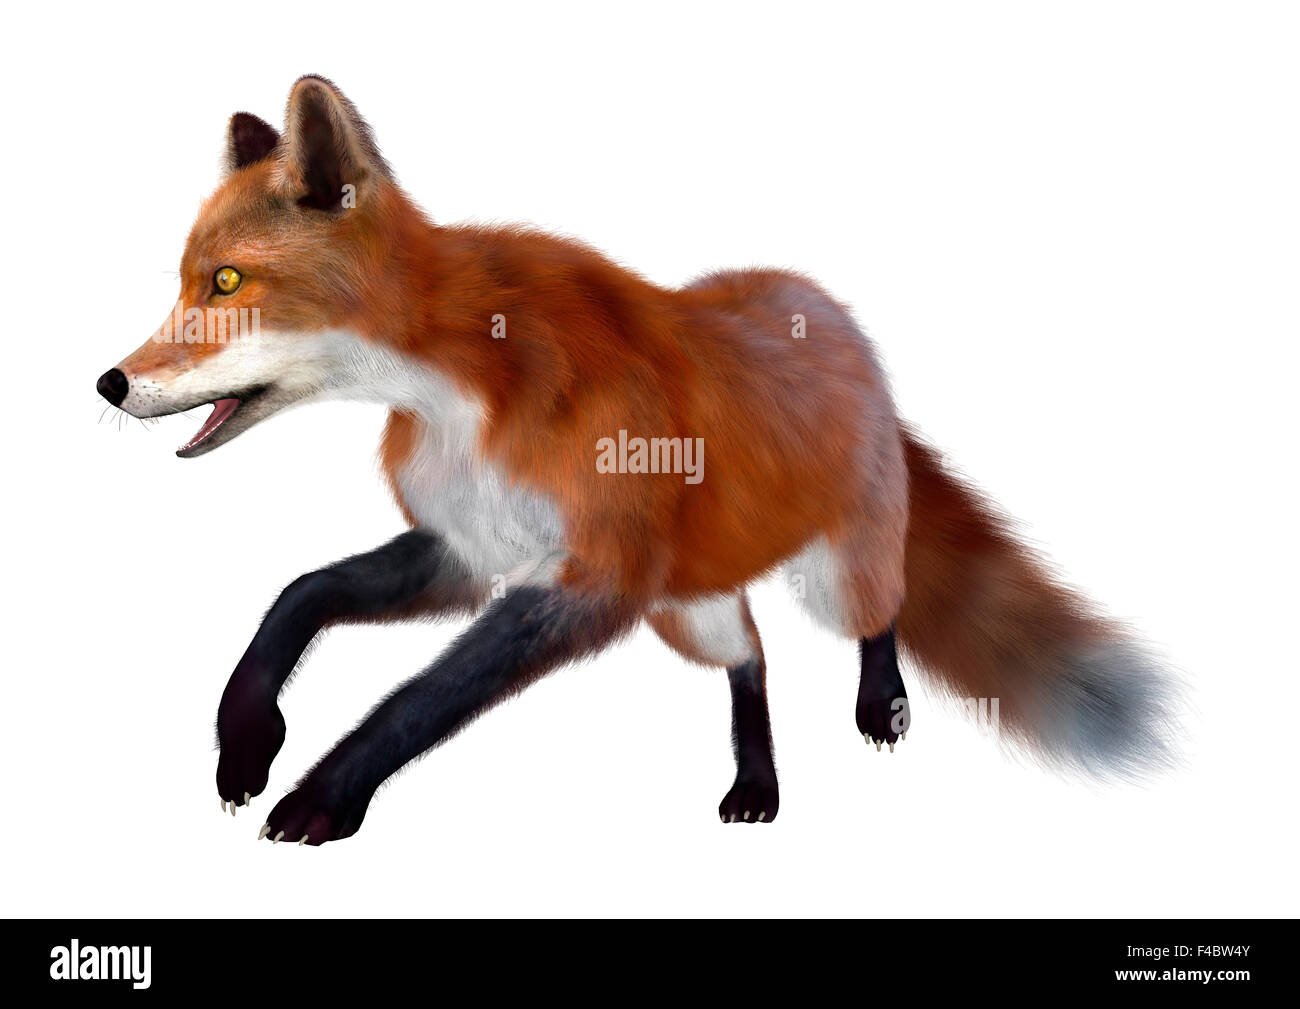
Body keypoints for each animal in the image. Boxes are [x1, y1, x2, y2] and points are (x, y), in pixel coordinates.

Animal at [98, 76, 1180, 846]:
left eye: (226, 282)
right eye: (187, 282)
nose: (108, 383)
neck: (463, 395)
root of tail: (830, 311)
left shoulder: (594, 576)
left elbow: (421, 695)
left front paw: (327, 790)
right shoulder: (471, 550)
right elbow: (300, 594)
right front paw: (247, 740)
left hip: (827, 577)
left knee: (881, 614)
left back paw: (881, 703)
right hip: (688, 604)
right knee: (751, 659)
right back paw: (757, 784)